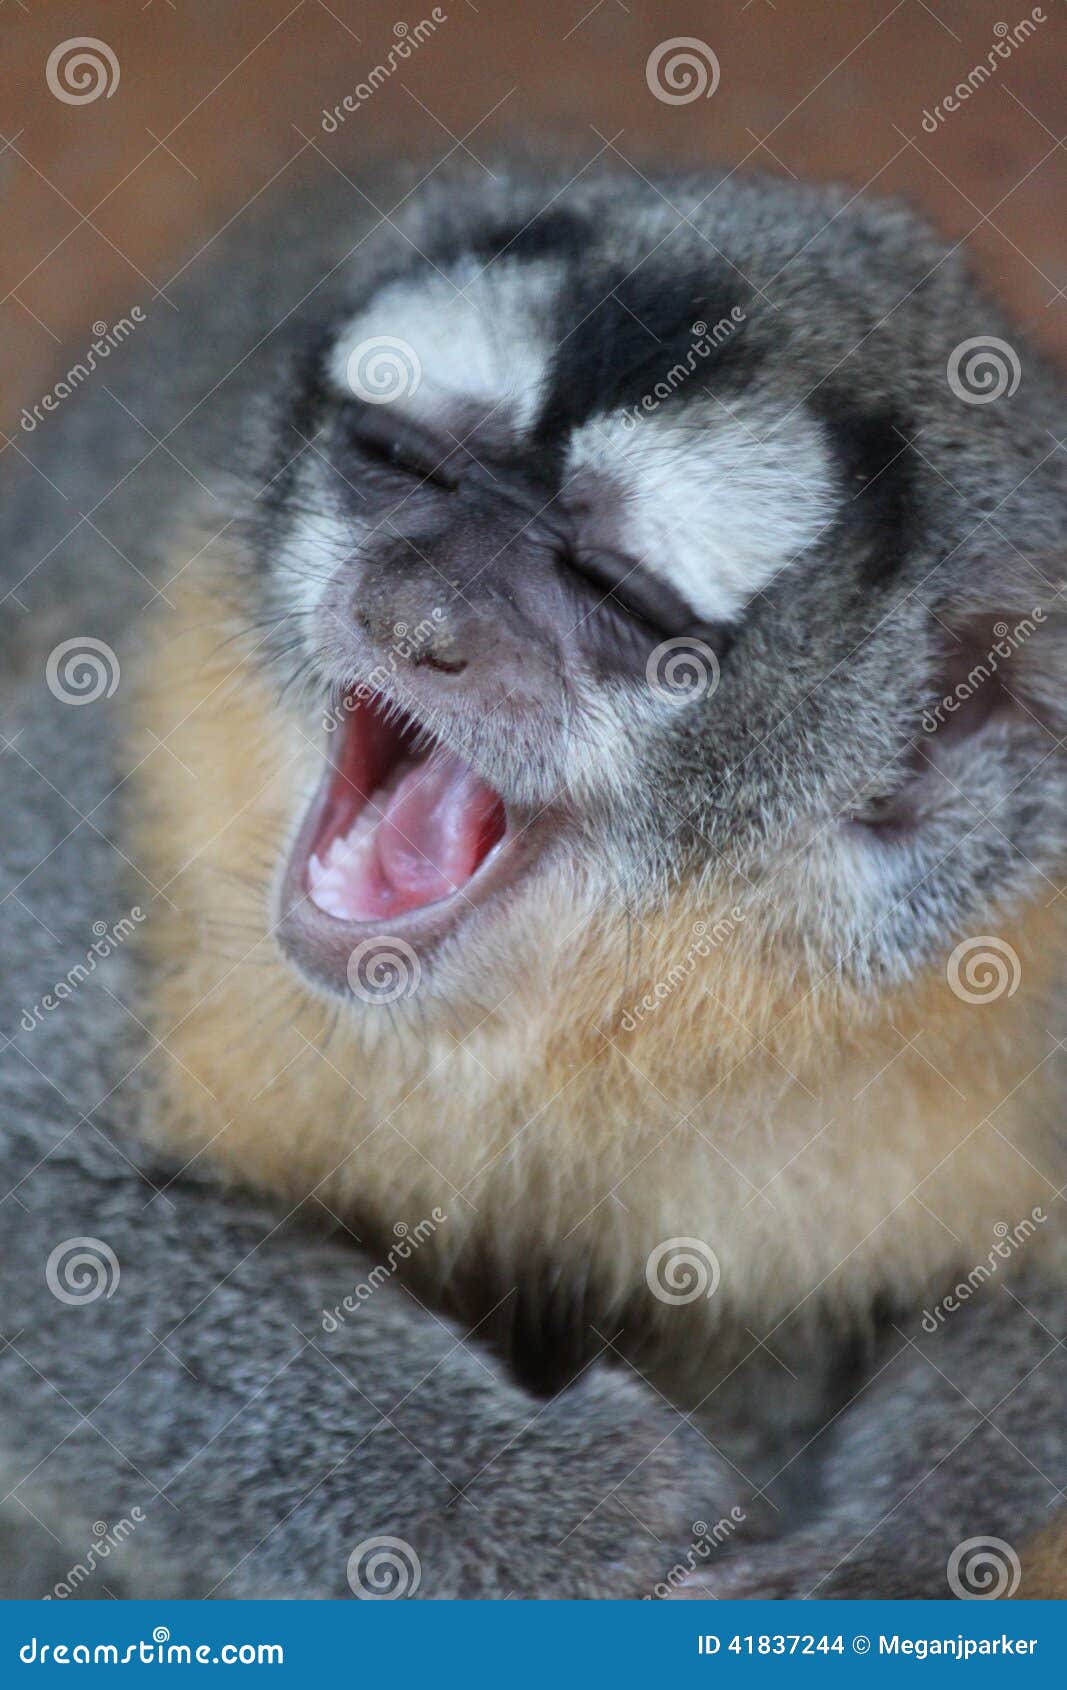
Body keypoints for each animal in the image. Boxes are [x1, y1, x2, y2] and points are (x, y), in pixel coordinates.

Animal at [1, 154, 1065, 1601]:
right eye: (398, 460)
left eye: (611, 592)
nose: (412, 618)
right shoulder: (149, 742)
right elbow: (39, 1200)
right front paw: (525, 1500)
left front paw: (877, 1559)